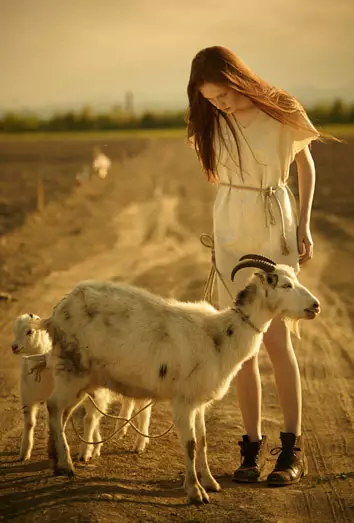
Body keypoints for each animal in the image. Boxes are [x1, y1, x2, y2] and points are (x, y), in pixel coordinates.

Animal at [12, 314, 151, 460]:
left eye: (29, 331)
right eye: (14, 330)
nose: (14, 347)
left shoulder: (95, 397)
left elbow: (89, 420)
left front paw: (86, 452)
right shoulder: (28, 397)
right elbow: (30, 423)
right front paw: (25, 452)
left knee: (144, 413)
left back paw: (140, 444)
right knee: (128, 402)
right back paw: (121, 430)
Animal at [34, 256, 320, 506]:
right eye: (286, 285)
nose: (316, 306)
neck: (220, 334)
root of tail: (57, 311)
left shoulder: (199, 402)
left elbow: (203, 441)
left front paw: (211, 483)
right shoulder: (183, 400)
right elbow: (190, 444)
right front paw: (195, 493)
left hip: (83, 378)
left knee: (62, 412)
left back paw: (56, 461)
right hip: (72, 369)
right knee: (54, 407)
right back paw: (66, 466)